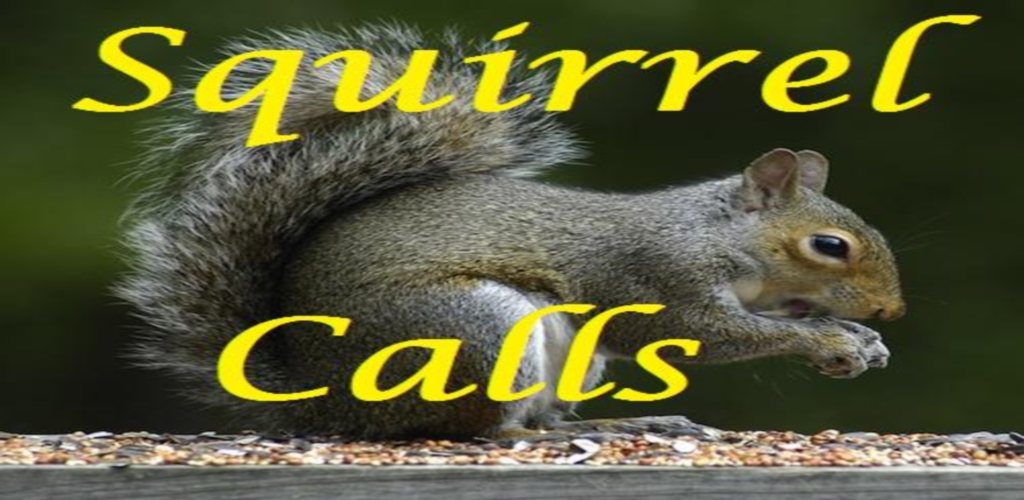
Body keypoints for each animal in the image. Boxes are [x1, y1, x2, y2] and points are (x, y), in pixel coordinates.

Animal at [117, 24, 905, 439]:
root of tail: (326, 397)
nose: (889, 310)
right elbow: (694, 333)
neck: (719, 237)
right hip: (469, 332)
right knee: (489, 428)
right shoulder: (655, 273)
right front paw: (829, 339)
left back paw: (606, 427)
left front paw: (858, 341)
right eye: (829, 246)